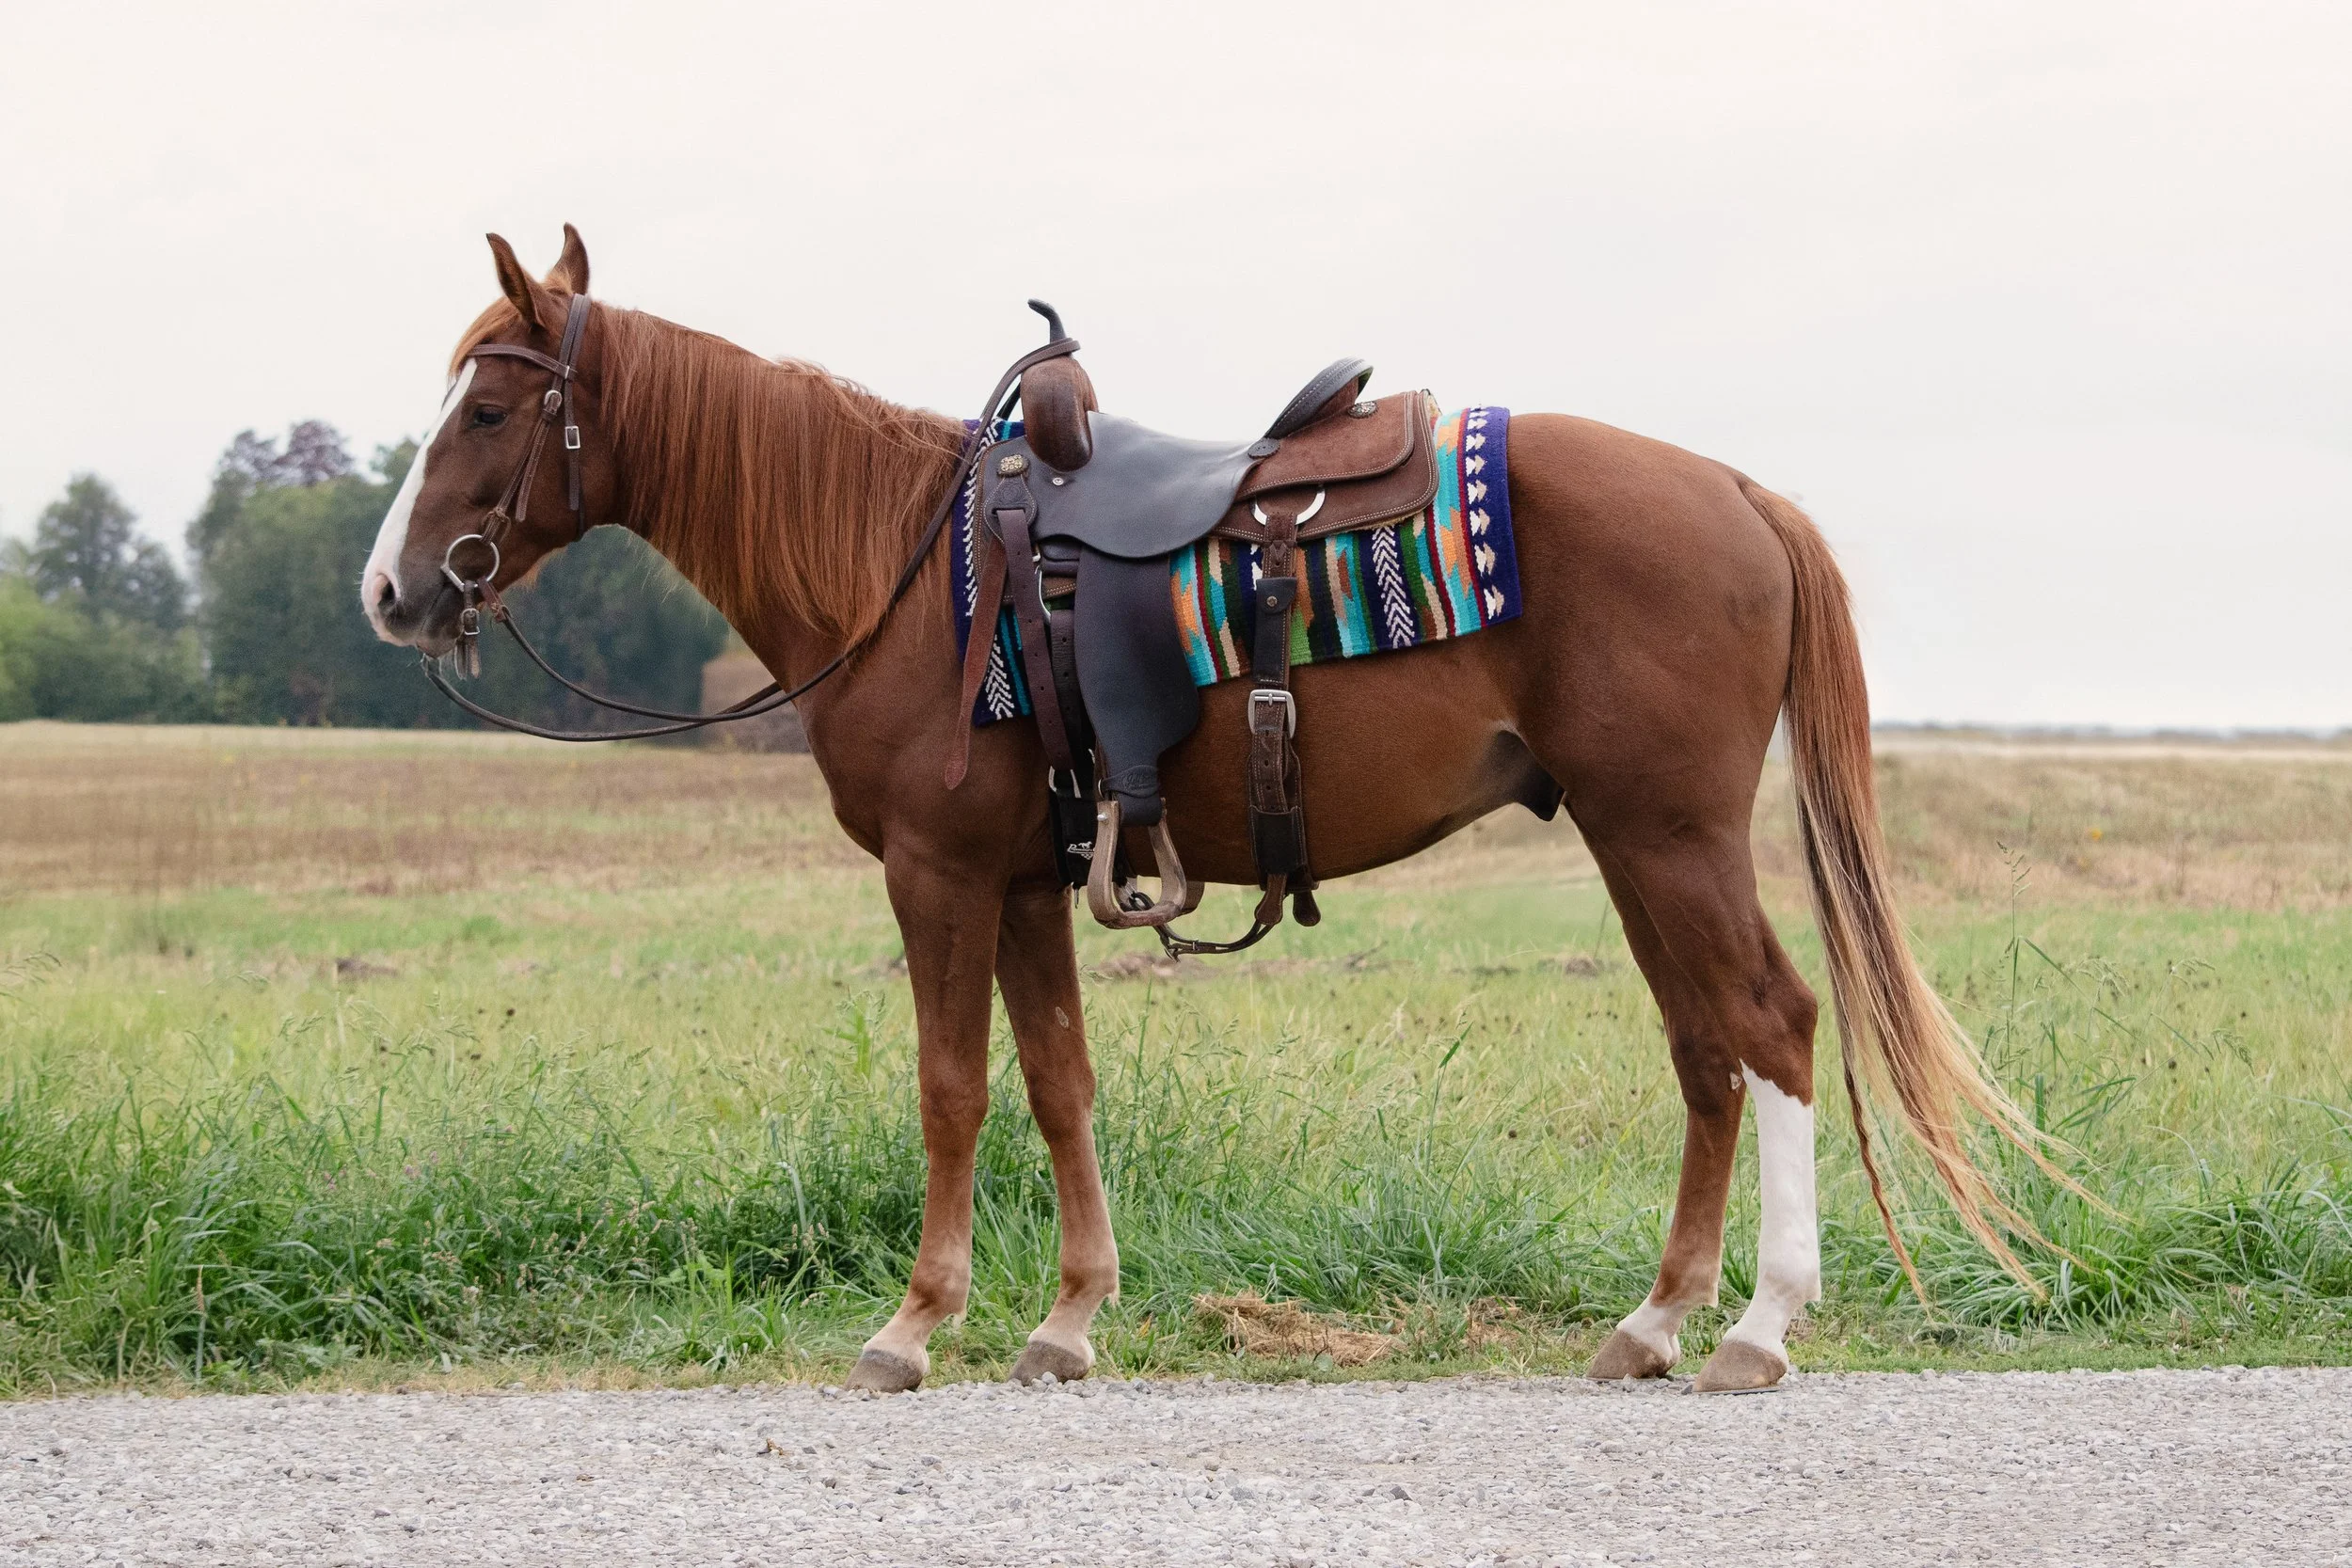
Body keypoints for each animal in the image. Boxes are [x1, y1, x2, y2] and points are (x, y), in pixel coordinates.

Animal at [364, 226, 2056, 1394]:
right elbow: (1059, 1083)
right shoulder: (1026, 880)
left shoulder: (936, 872)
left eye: (490, 415)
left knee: (1771, 1024)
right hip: (1631, 838)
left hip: (1672, 833)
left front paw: (914, 1324)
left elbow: (950, 1088)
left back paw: (1760, 1327)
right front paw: (1066, 1320)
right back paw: (1652, 1320)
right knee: (1706, 1049)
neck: (909, 570)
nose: (389, 589)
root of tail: (1737, 491)